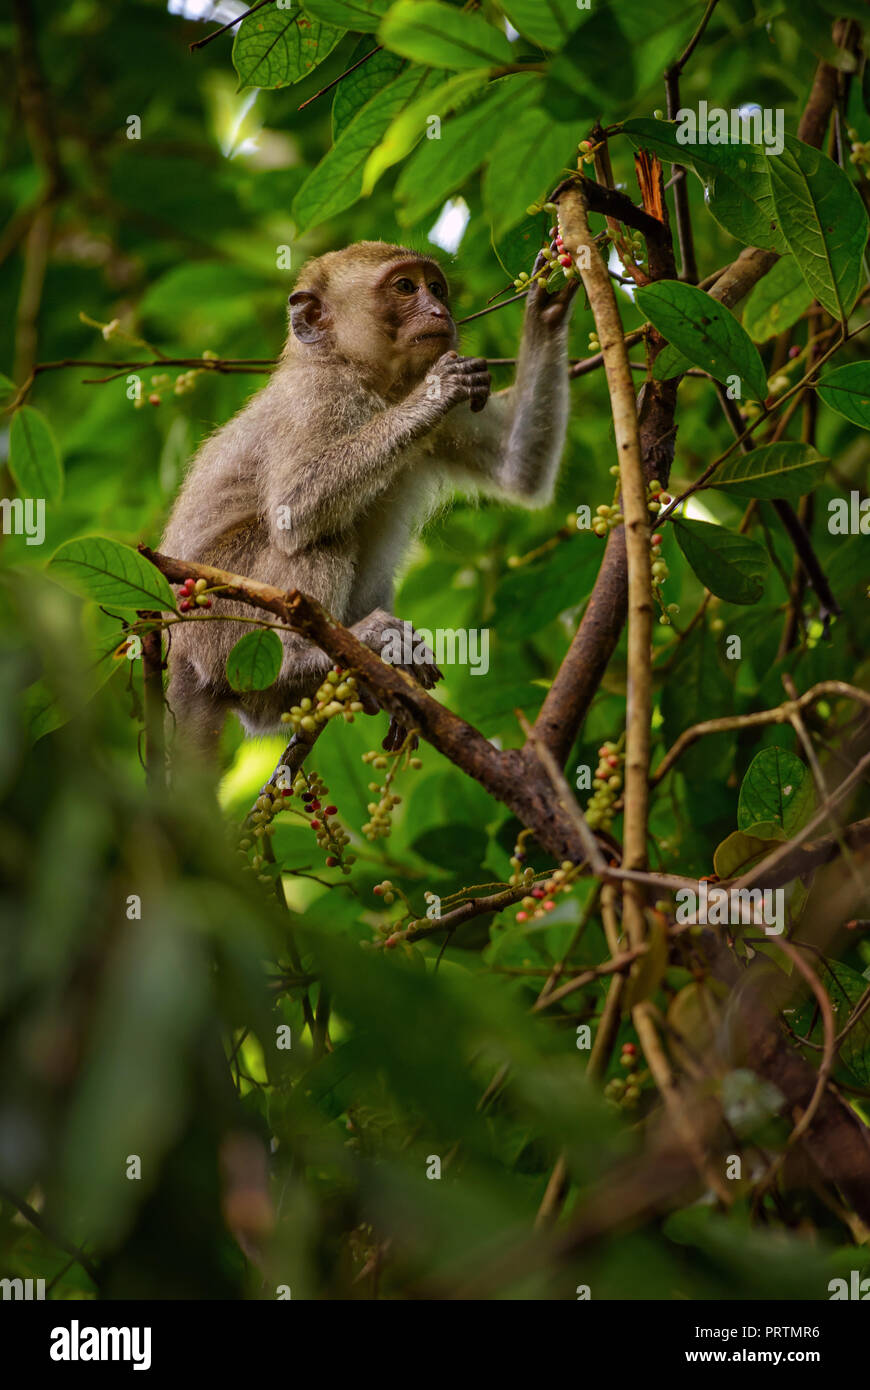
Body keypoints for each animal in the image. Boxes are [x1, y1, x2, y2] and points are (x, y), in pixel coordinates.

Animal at [160, 240, 577, 762]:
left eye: (436, 287)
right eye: (406, 287)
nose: (440, 310)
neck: (375, 382)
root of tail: (177, 652)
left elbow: (518, 469)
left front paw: (547, 307)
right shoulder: (319, 397)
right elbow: (294, 510)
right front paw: (438, 393)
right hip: (217, 624)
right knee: (318, 539)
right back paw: (308, 656)